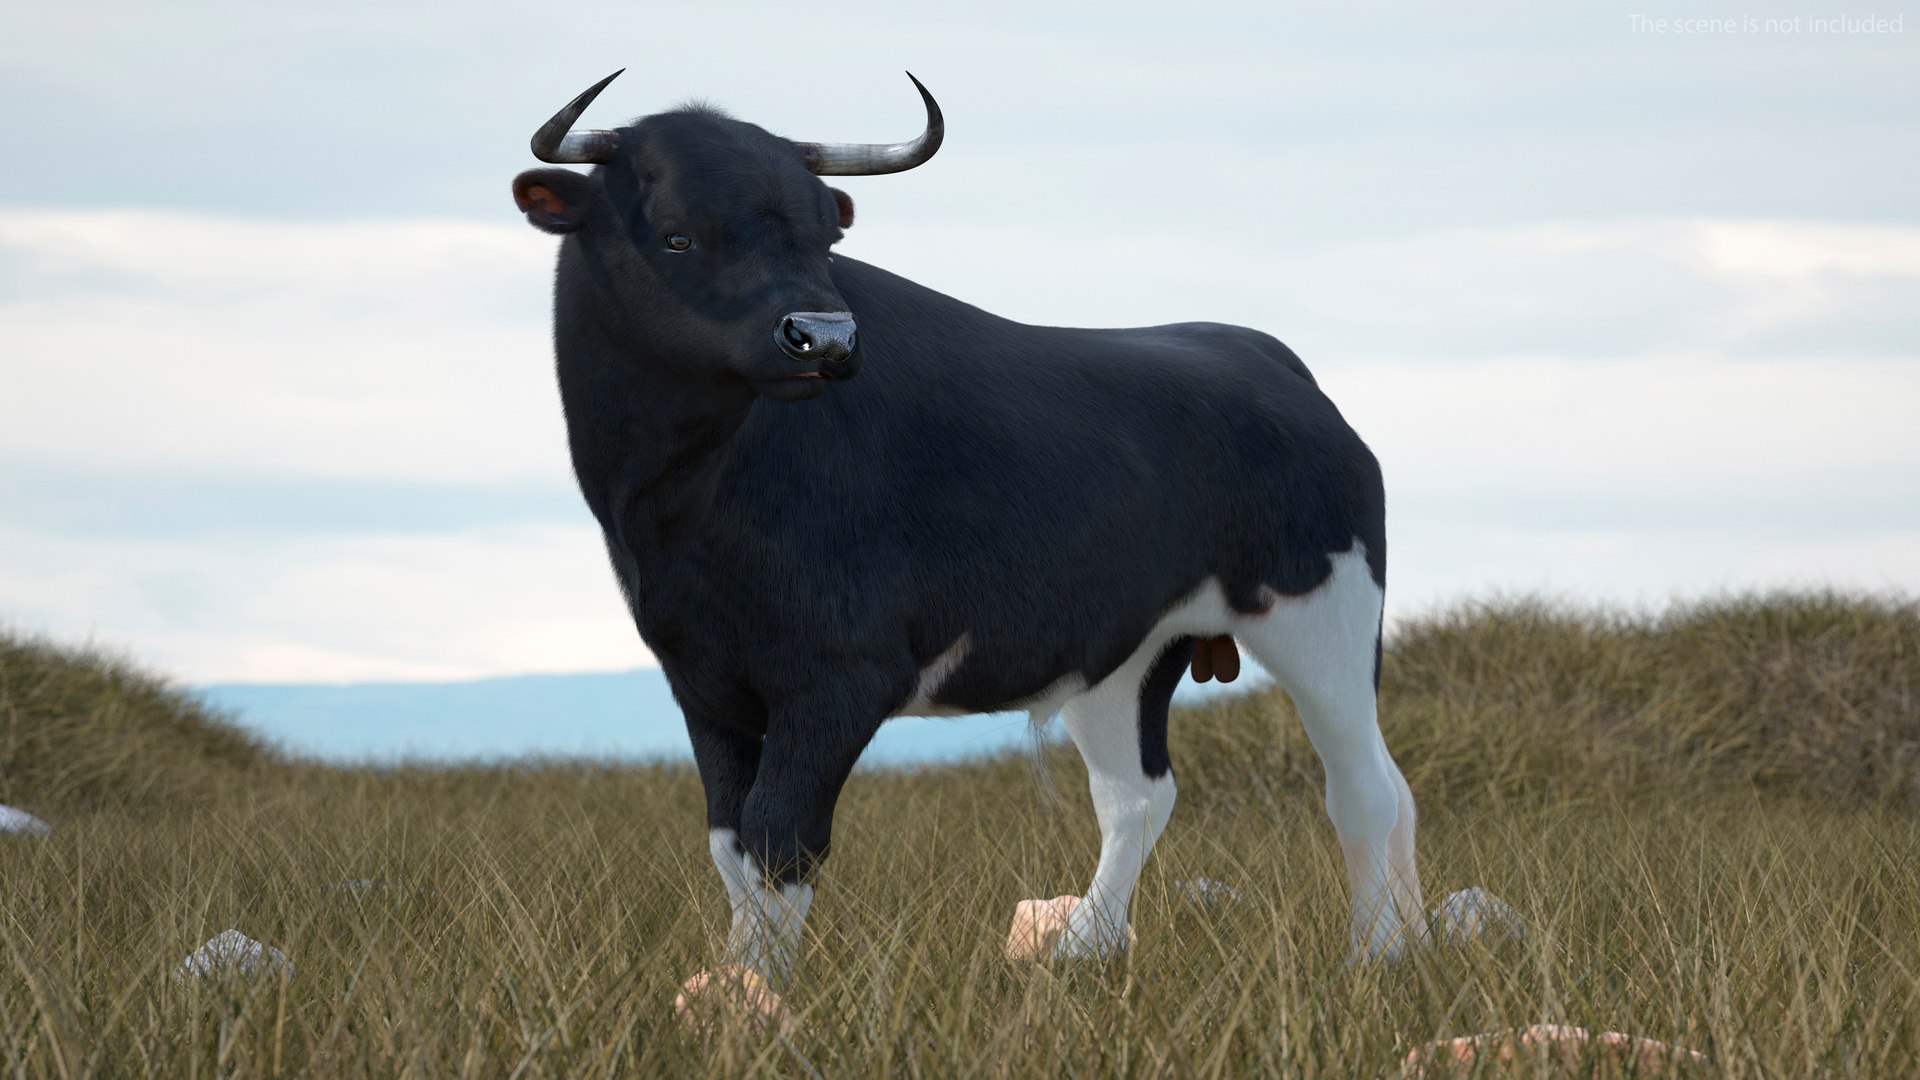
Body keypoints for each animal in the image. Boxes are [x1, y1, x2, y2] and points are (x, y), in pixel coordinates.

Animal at [511, 71, 1425, 985]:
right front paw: (733, 984)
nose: (825, 339)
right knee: (1140, 795)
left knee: (1364, 787)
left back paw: (1375, 955)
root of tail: (1265, 354)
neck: (676, 500)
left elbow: (780, 838)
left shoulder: (841, 673)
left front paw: (759, 998)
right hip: (1128, 651)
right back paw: (1089, 949)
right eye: (677, 235)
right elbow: (730, 842)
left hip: (1323, 610)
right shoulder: (703, 675)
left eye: (824, 236)